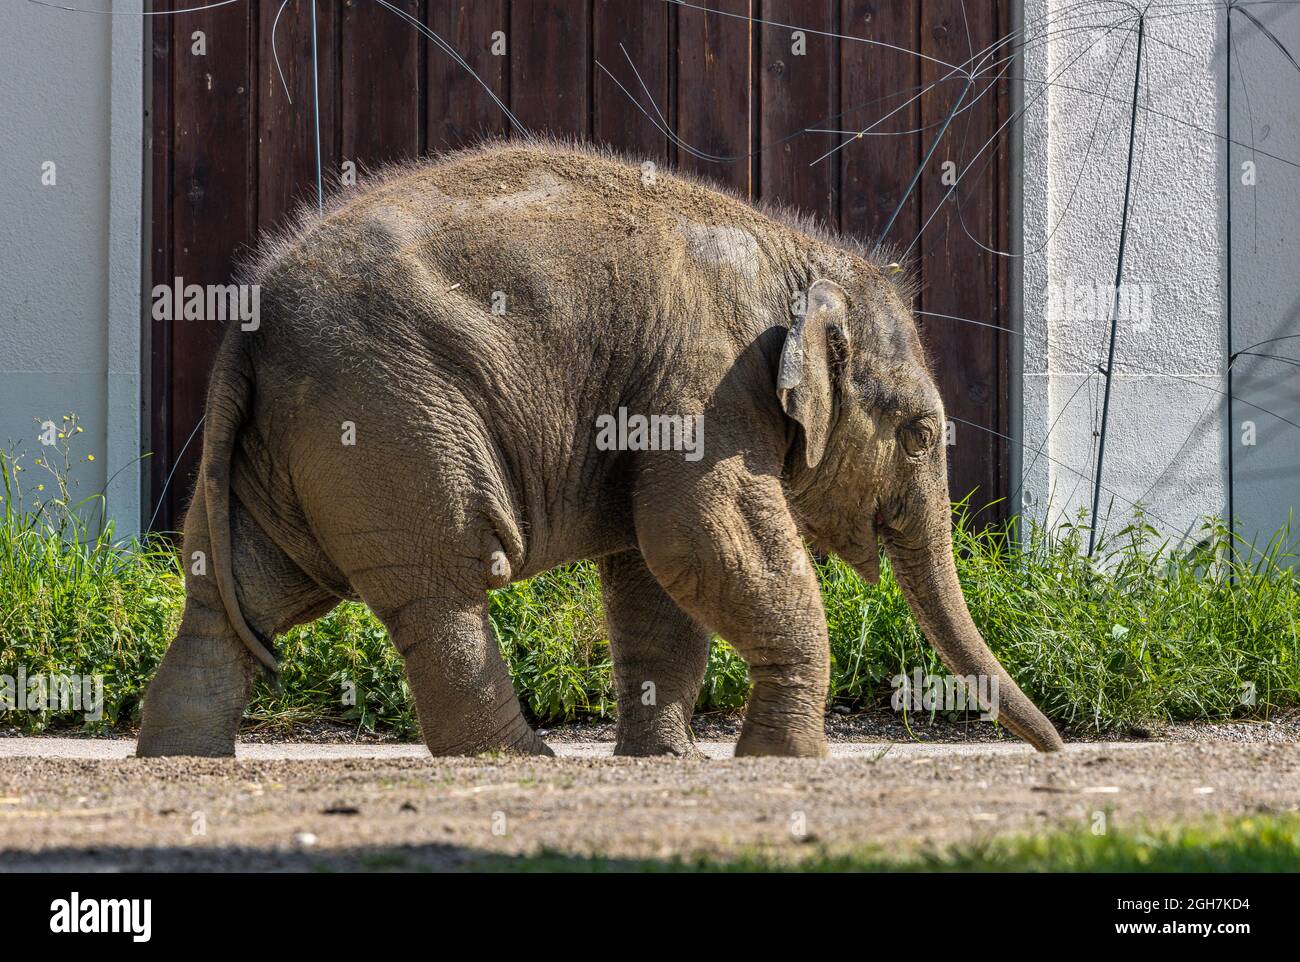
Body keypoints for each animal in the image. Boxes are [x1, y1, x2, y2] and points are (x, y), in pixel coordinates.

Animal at [136, 140, 1063, 759]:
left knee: (240, 591)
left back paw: (184, 760)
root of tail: (250, 319)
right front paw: (784, 761)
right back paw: (520, 761)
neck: (794, 258)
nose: (1056, 752)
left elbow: (658, 578)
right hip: (387, 420)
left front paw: (669, 761)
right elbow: (706, 539)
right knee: (446, 584)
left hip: (285, 445)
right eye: (918, 434)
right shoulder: (707, 382)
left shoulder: (666, 399)